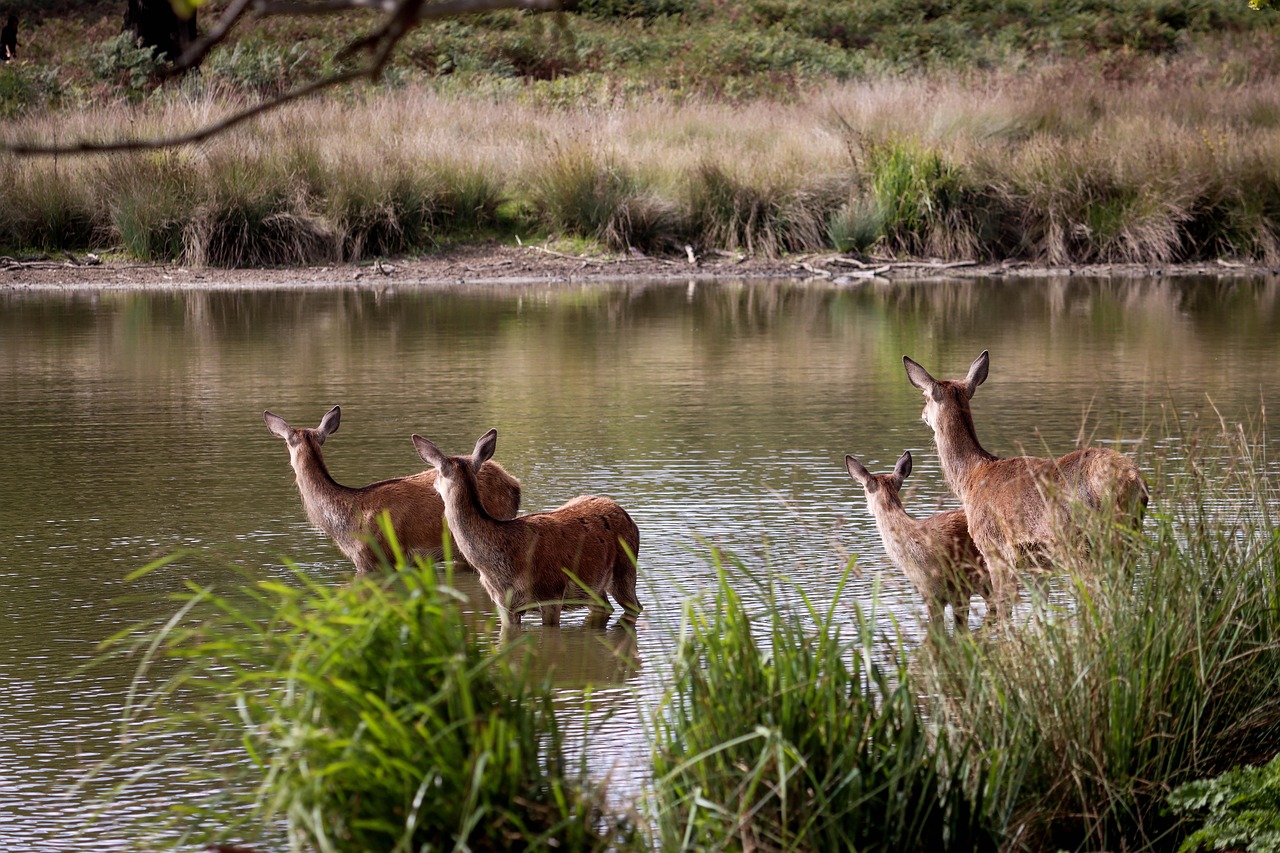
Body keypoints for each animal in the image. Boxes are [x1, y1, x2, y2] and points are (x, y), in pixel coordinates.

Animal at [412, 429, 642, 628]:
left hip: (626, 569)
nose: (432, 484)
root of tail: (625, 513)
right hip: (594, 588)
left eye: (436, 473)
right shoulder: (504, 605)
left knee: (635, 606)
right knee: (605, 606)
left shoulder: (551, 593)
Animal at [902, 350, 1149, 617]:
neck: (971, 478)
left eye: (925, 396)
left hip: (1084, 543)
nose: (922, 414)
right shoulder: (1039, 565)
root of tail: (1132, 481)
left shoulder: (993, 549)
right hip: (1127, 538)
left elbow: (1003, 608)